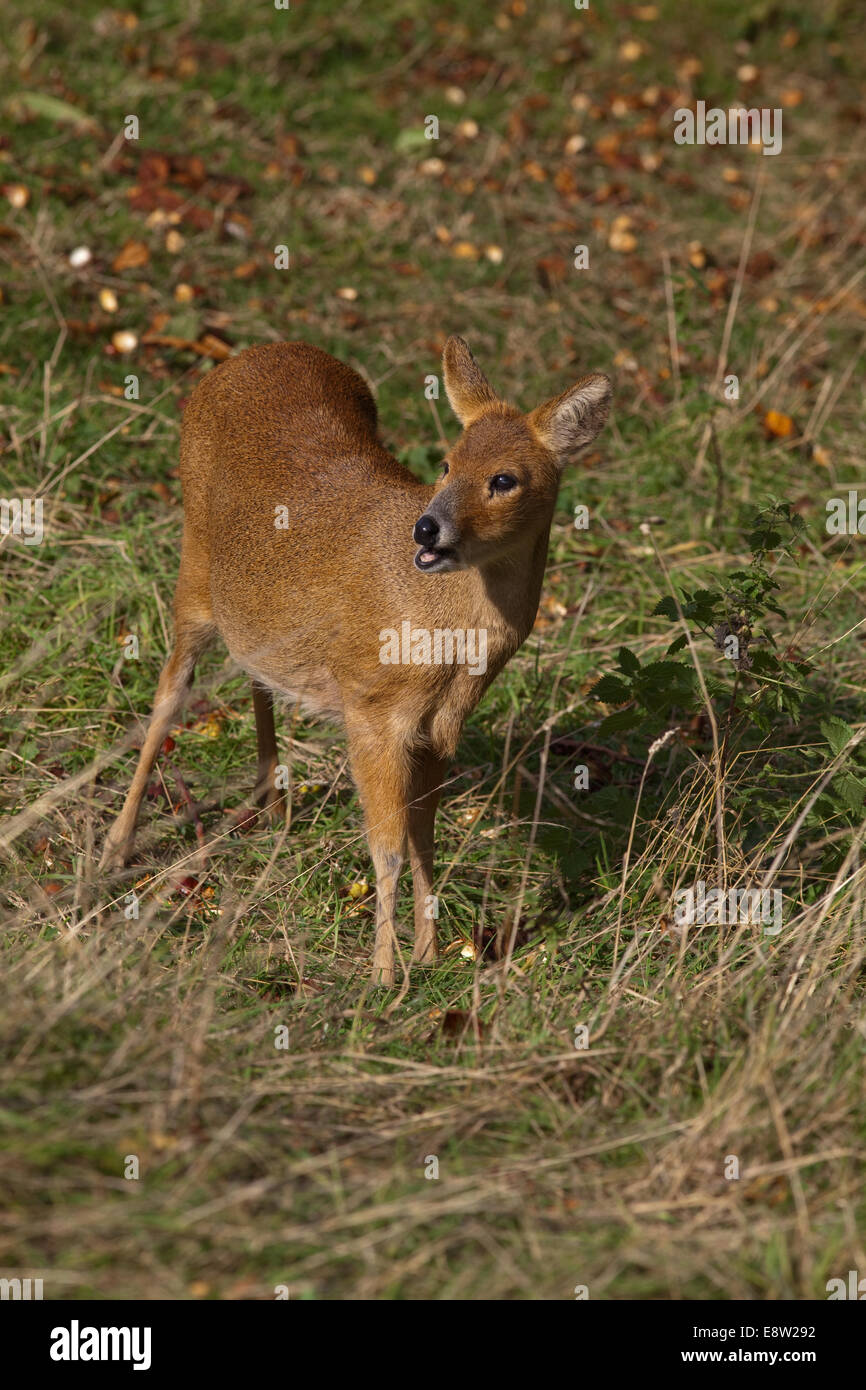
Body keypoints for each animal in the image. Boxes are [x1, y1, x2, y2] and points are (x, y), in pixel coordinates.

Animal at [100, 337, 611, 984]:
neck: (445, 642)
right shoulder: (371, 712)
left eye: (504, 478)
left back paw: (270, 802)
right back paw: (116, 847)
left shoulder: (439, 729)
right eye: (447, 464)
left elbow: (424, 837)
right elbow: (387, 848)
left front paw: (427, 955)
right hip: (193, 565)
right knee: (168, 694)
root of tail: (254, 353)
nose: (427, 528)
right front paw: (384, 977)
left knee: (254, 672)